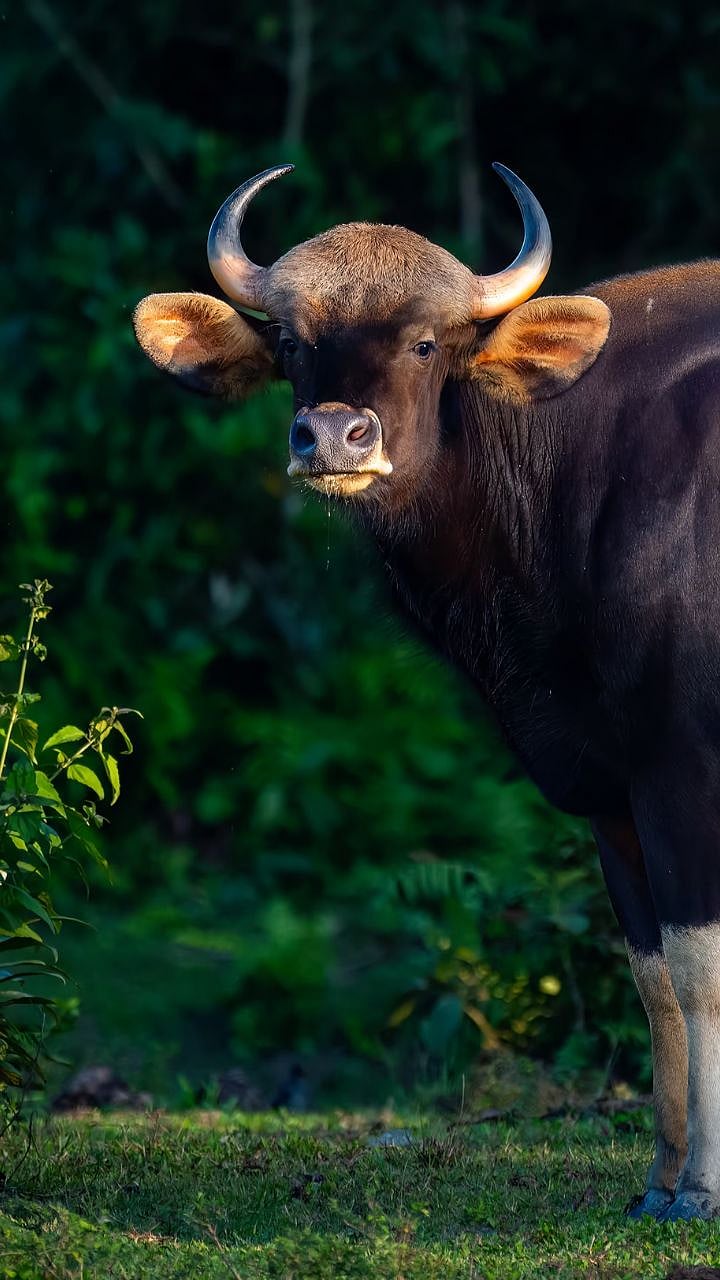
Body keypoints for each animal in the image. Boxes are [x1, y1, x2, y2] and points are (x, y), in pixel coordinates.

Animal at [134, 163, 720, 1220]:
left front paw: (698, 1191)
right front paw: (660, 1181)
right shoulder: (609, 790)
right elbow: (653, 975)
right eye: (292, 343)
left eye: (424, 343)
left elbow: (698, 974)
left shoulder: (681, 766)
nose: (333, 437)